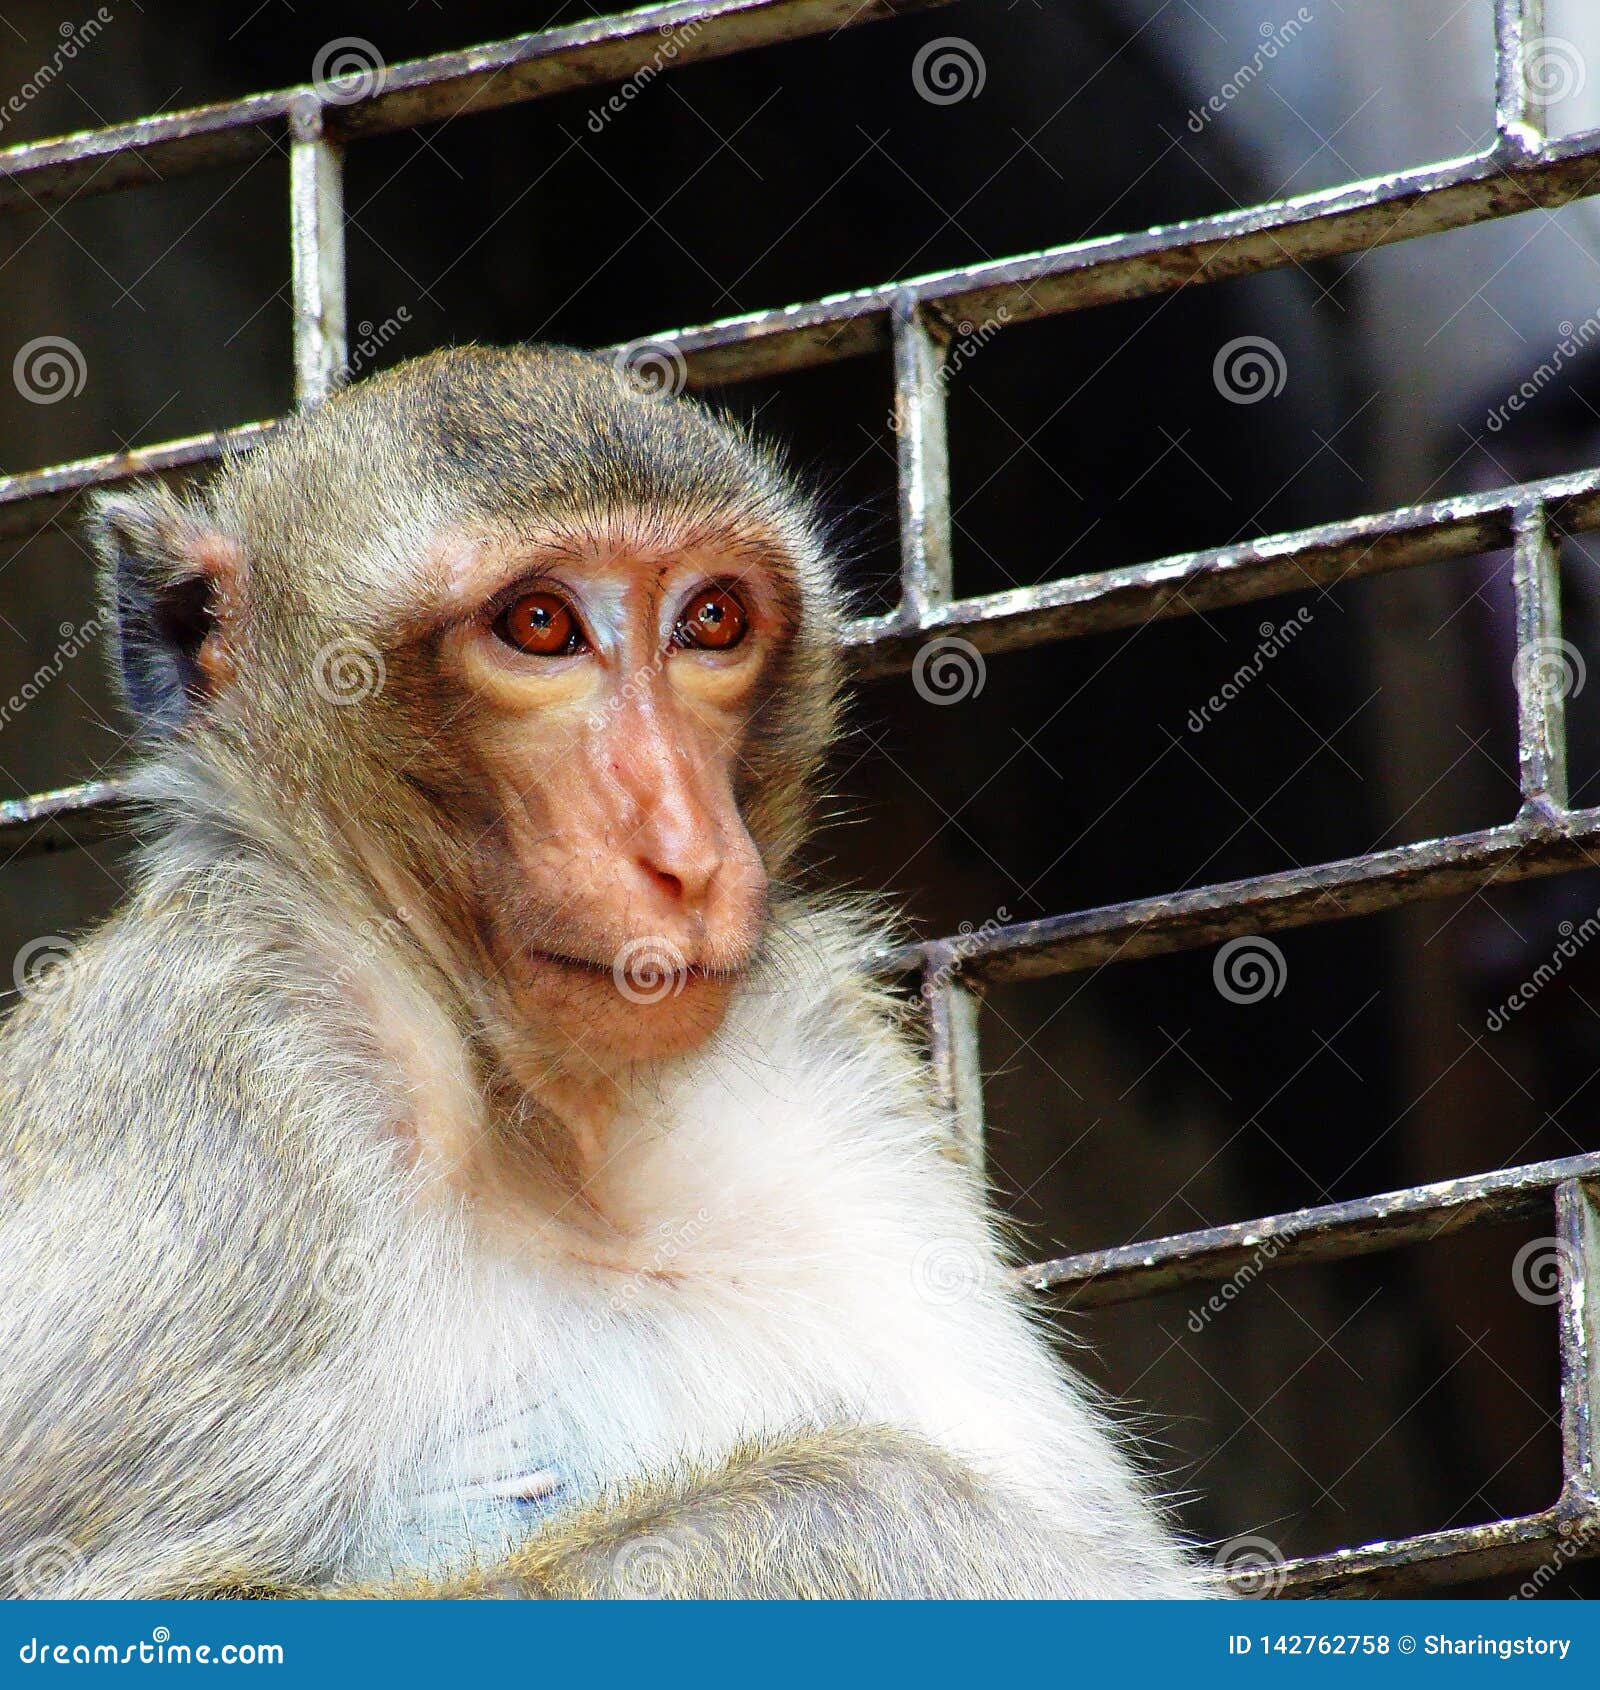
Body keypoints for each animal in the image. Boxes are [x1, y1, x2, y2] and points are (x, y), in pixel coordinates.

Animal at [0, 345, 1214, 1600]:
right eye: (540, 624)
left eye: (710, 618)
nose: (686, 849)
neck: (537, 1128)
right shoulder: (221, 1051)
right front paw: (882, 1514)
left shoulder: (820, 1063)